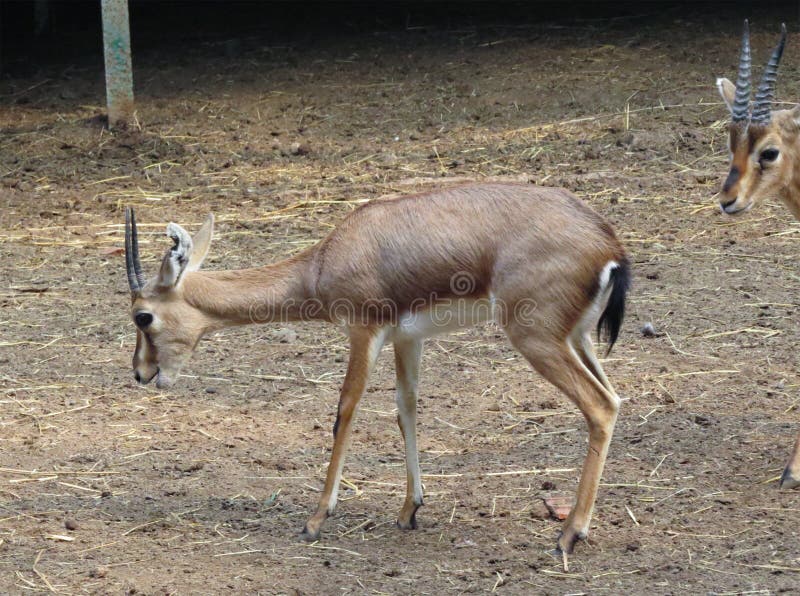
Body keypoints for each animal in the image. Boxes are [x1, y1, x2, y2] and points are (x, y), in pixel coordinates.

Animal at [122, 182, 630, 563]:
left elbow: (345, 411)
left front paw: (315, 520)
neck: (325, 260)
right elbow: (406, 409)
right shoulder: (408, 339)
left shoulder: (363, 331)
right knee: (616, 397)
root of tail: (609, 244)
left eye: (143, 316)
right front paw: (410, 509)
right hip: (577, 340)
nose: (142, 373)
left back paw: (569, 535)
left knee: (601, 406)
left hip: (537, 340)